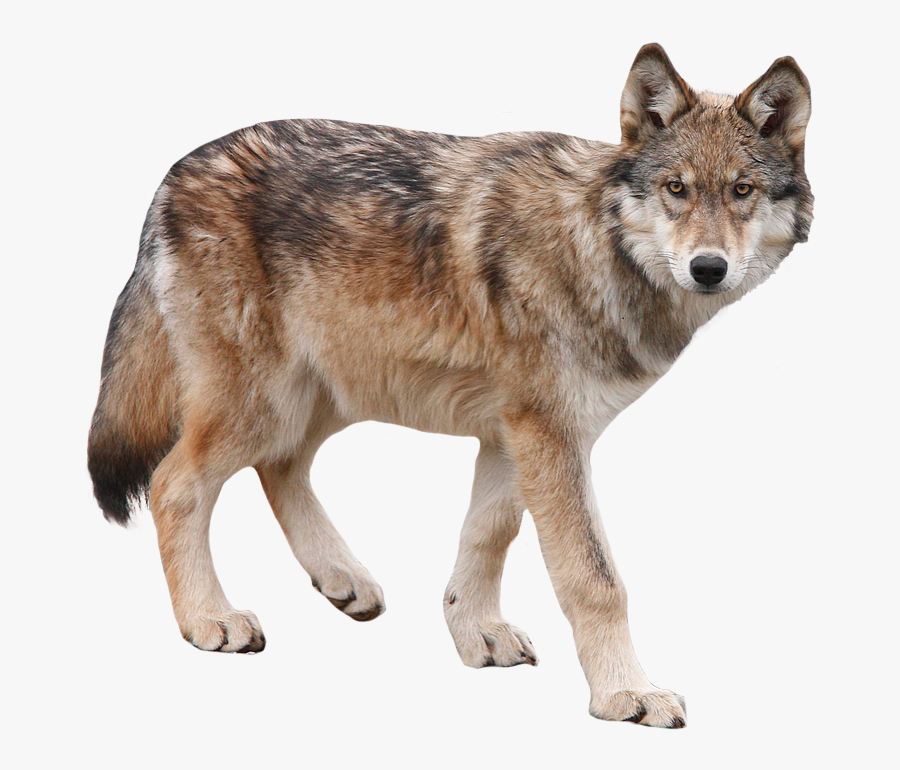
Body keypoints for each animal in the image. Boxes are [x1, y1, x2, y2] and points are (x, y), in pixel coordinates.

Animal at [88, 43, 812, 727]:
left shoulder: (515, 434)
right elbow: (594, 578)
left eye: (742, 190)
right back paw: (209, 620)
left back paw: (342, 578)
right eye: (676, 188)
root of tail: (172, 176)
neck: (594, 244)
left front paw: (476, 634)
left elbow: (487, 535)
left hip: (325, 395)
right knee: (175, 484)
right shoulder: (549, 436)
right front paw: (626, 694)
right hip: (266, 402)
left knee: (281, 466)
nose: (709, 267)